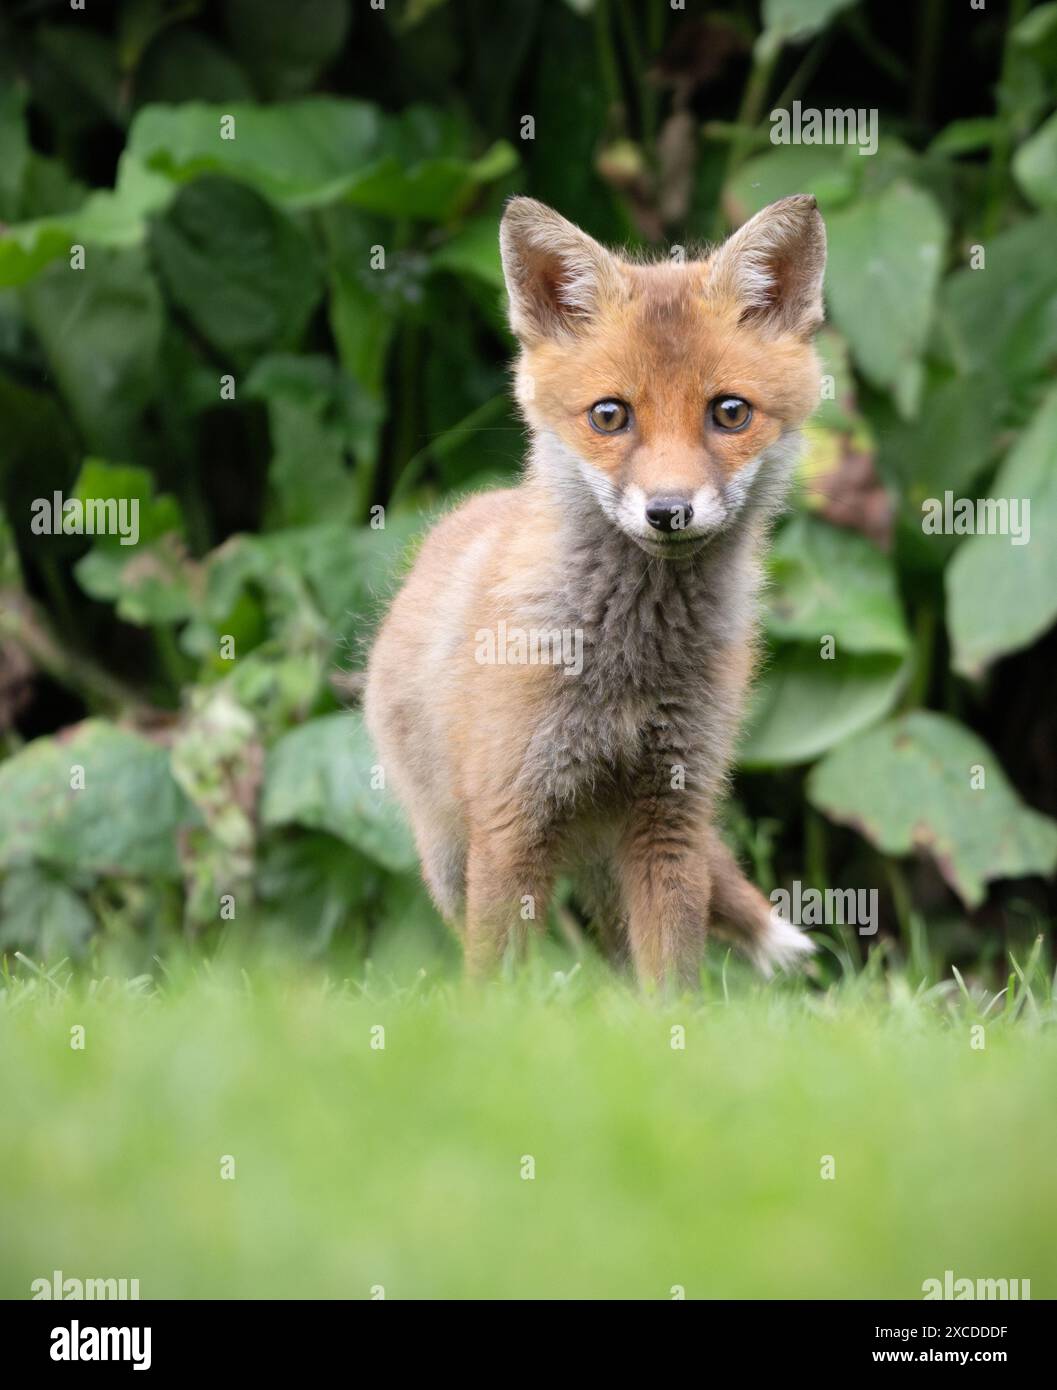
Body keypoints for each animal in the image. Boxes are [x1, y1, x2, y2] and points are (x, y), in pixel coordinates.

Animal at [364, 193, 827, 985]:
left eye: (729, 412)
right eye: (610, 415)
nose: (668, 511)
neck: (630, 664)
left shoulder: (671, 817)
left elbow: (671, 985)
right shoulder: (511, 820)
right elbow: (493, 982)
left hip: (614, 867)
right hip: (451, 857)